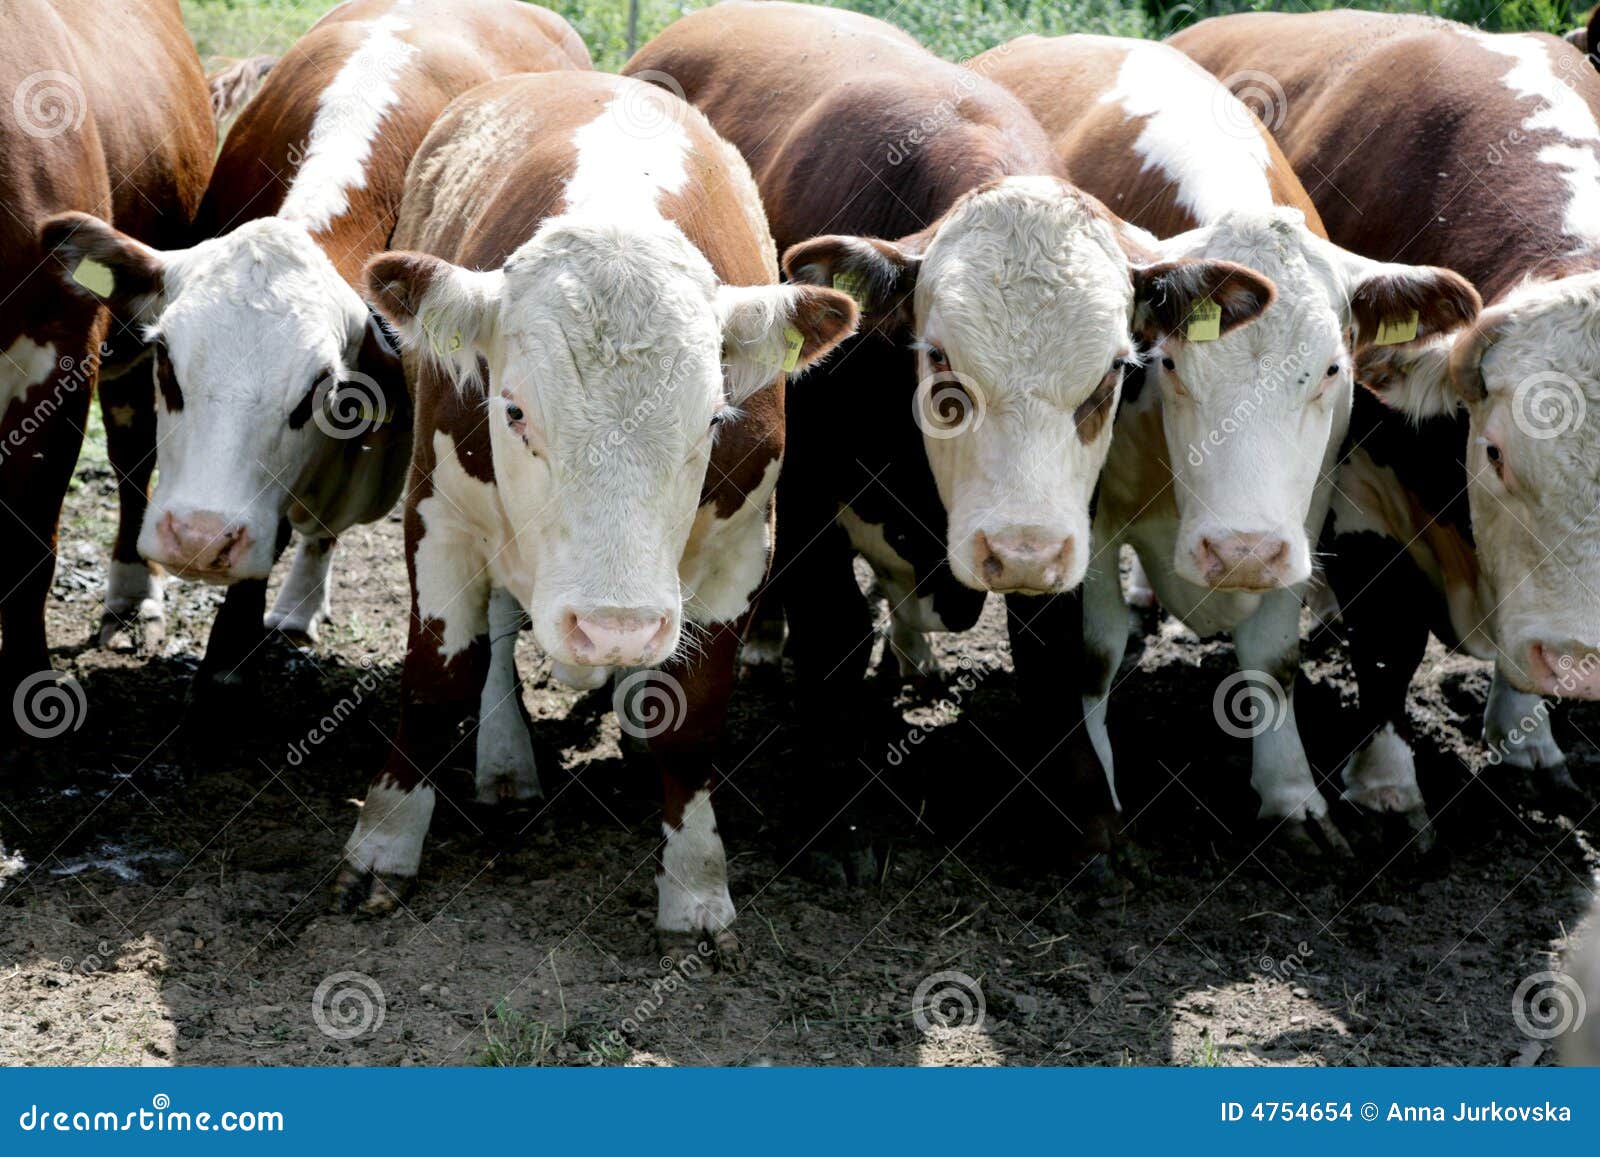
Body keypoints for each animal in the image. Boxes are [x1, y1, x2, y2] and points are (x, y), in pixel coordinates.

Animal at [337, 71, 858, 965]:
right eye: (513, 410)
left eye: (713, 418)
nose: (616, 625)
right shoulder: (438, 515)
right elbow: (437, 681)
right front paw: (386, 840)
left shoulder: (736, 550)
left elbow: (696, 722)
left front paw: (695, 886)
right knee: (498, 630)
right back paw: (506, 762)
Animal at [625, 1, 1284, 885]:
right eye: (938, 358)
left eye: (1116, 367)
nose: (1017, 551)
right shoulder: (806, 491)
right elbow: (833, 634)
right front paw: (827, 814)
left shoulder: (1065, 517)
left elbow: (1054, 644)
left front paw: (1086, 812)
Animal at [973, 34, 1479, 856]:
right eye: (1171, 364)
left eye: (1332, 369)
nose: (1239, 550)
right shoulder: (1089, 520)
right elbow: (1092, 654)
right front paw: (1097, 792)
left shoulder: (1298, 517)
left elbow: (1274, 658)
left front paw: (1292, 797)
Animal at [1174, 11, 1600, 828]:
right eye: (1494, 454)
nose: (1581, 659)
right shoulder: (1362, 489)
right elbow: (1389, 633)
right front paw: (1386, 783)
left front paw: (1527, 741)